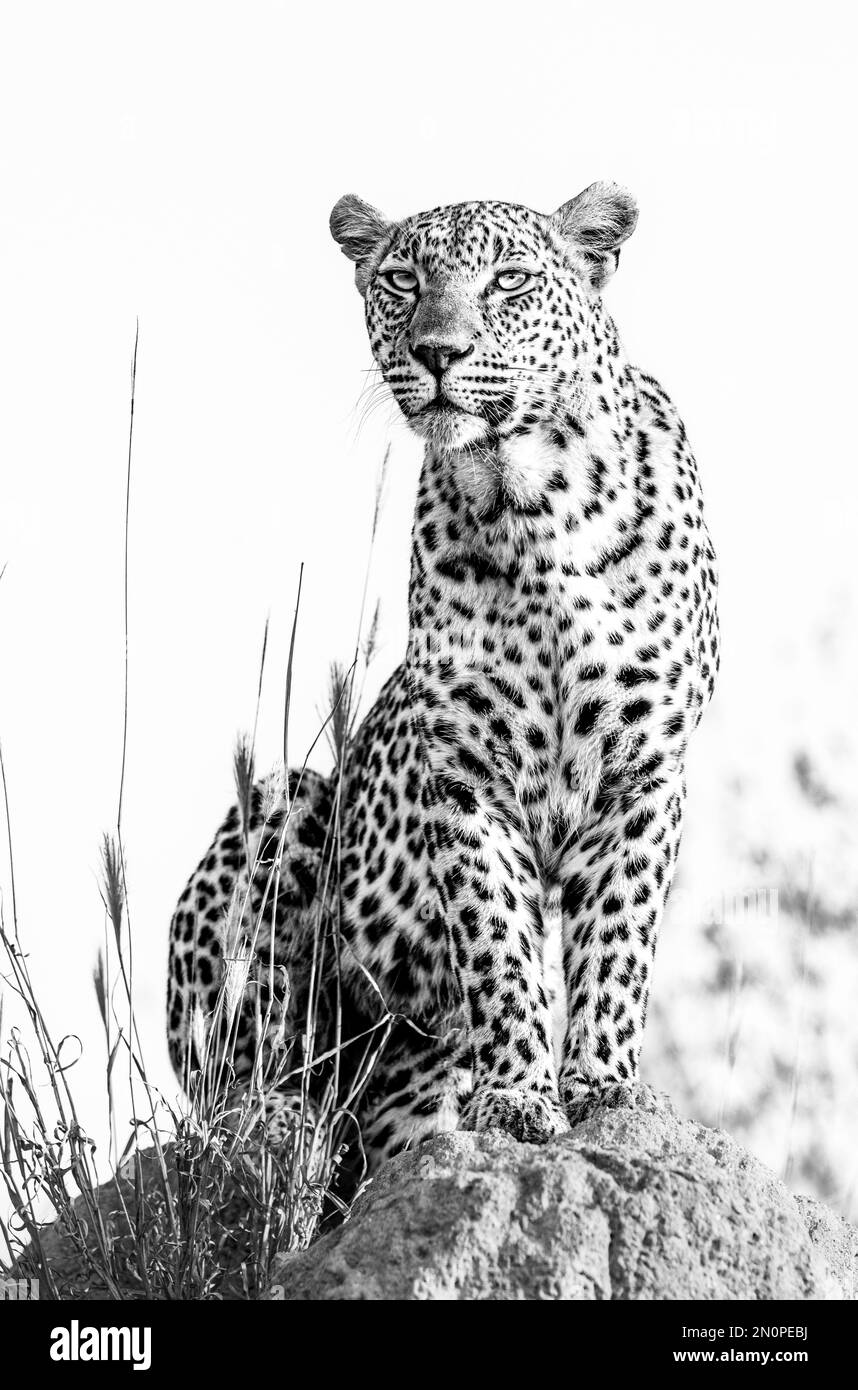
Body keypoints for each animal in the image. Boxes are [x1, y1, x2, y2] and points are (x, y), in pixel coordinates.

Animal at [166, 181, 719, 1164]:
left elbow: (617, 944)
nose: (437, 352)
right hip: (285, 800)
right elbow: (500, 946)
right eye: (401, 279)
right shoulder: (463, 774)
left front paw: (604, 1091)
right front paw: (519, 1096)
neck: (533, 505)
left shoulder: (644, 771)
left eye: (510, 281)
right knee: (237, 1056)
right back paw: (278, 1120)